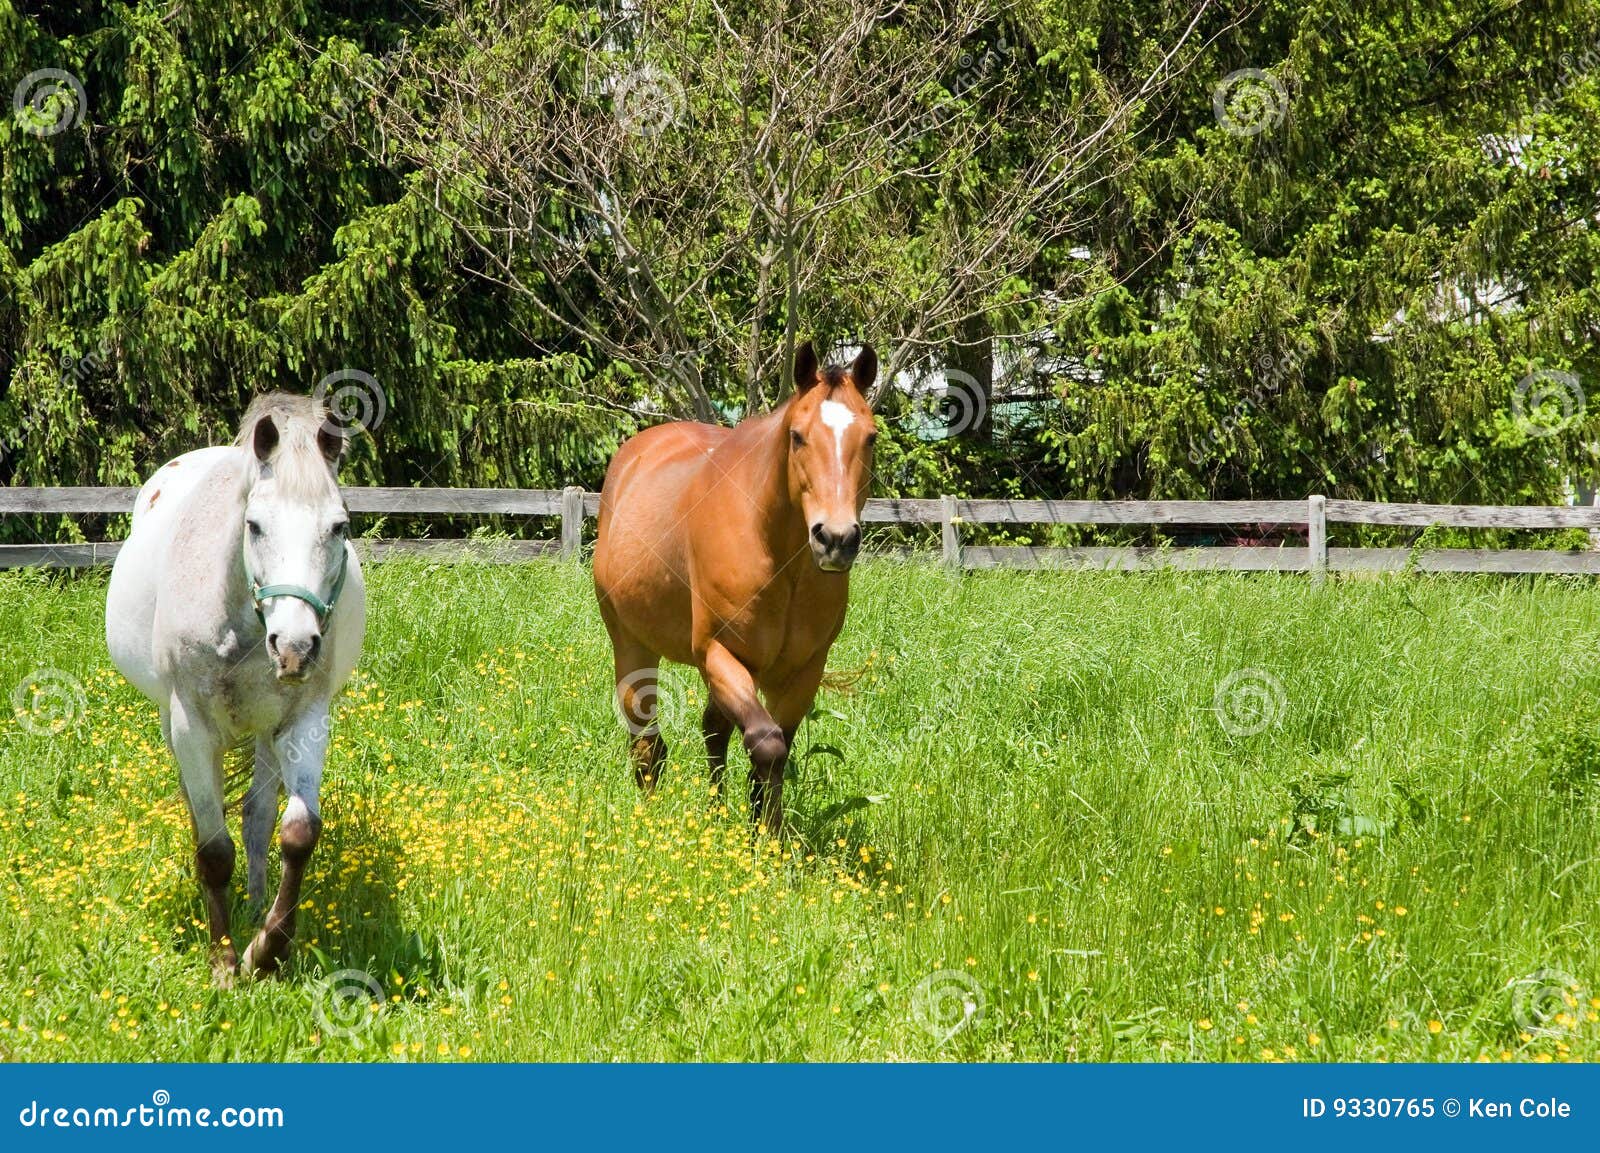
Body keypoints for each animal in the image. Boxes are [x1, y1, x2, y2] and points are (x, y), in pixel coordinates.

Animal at [106, 393, 365, 983]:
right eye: (255, 525)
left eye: (339, 526)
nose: (295, 647)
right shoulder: (192, 727)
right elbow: (213, 849)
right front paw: (223, 962)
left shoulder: (305, 720)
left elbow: (297, 832)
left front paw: (265, 951)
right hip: (171, 720)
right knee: (203, 811)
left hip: (267, 732)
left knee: (257, 816)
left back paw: (255, 904)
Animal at [593, 341, 877, 833]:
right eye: (798, 436)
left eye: (871, 437)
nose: (836, 539)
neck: (777, 554)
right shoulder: (718, 653)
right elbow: (766, 744)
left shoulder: (803, 669)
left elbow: (775, 747)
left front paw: (767, 834)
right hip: (631, 643)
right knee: (647, 742)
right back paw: (651, 818)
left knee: (712, 730)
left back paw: (714, 811)